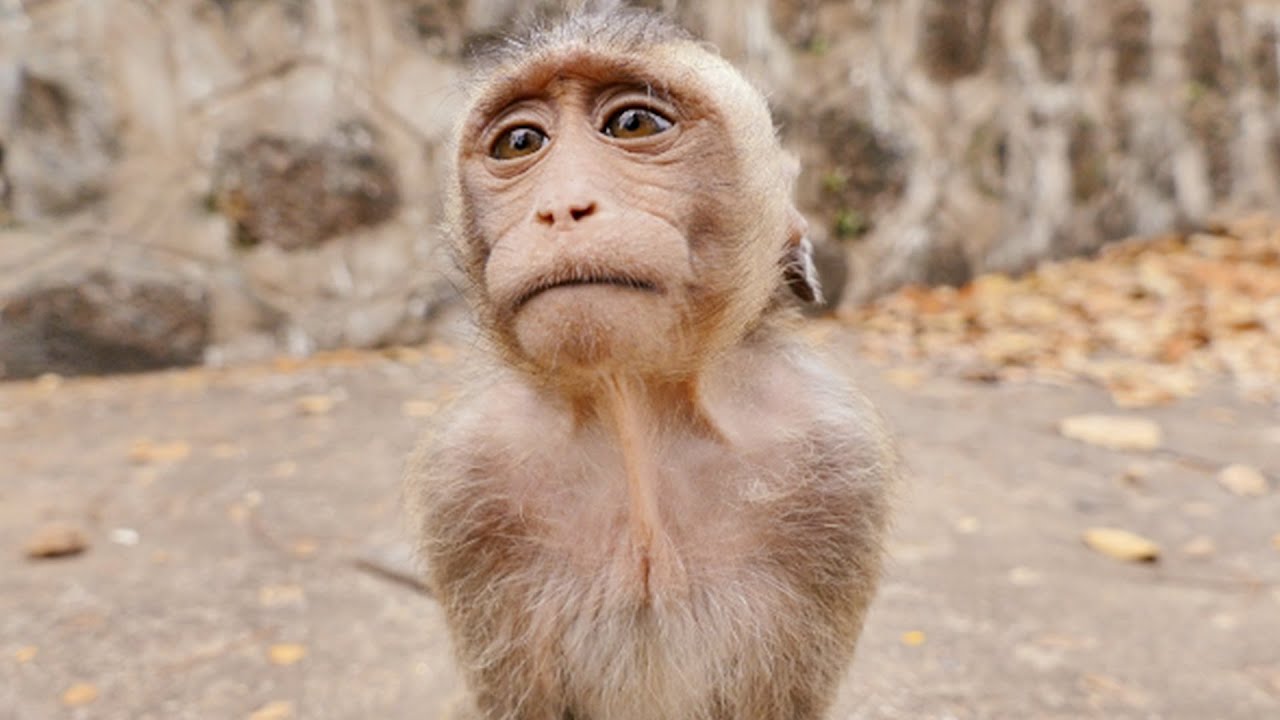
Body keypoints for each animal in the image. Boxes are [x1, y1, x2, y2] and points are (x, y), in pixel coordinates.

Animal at [405, 7, 899, 719]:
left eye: (634, 124)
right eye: (521, 143)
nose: (561, 207)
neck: (630, 403)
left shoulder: (834, 468)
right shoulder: (466, 476)